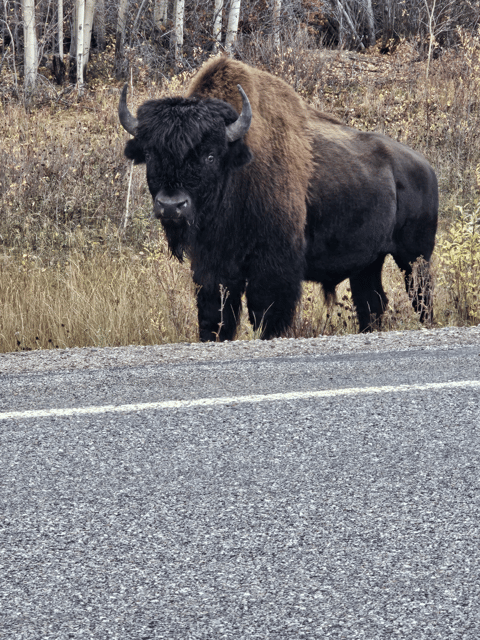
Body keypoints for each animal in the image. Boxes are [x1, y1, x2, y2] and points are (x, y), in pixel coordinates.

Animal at [119, 56, 438, 340]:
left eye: (210, 155)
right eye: (150, 155)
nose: (171, 205)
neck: (237, 168)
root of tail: (425, 167)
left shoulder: (273, 266)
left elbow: (265, 314)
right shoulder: (212, 265)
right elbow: (215, 316)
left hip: (415, 257)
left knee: (420, 296)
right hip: (368, 262)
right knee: (371, 301)